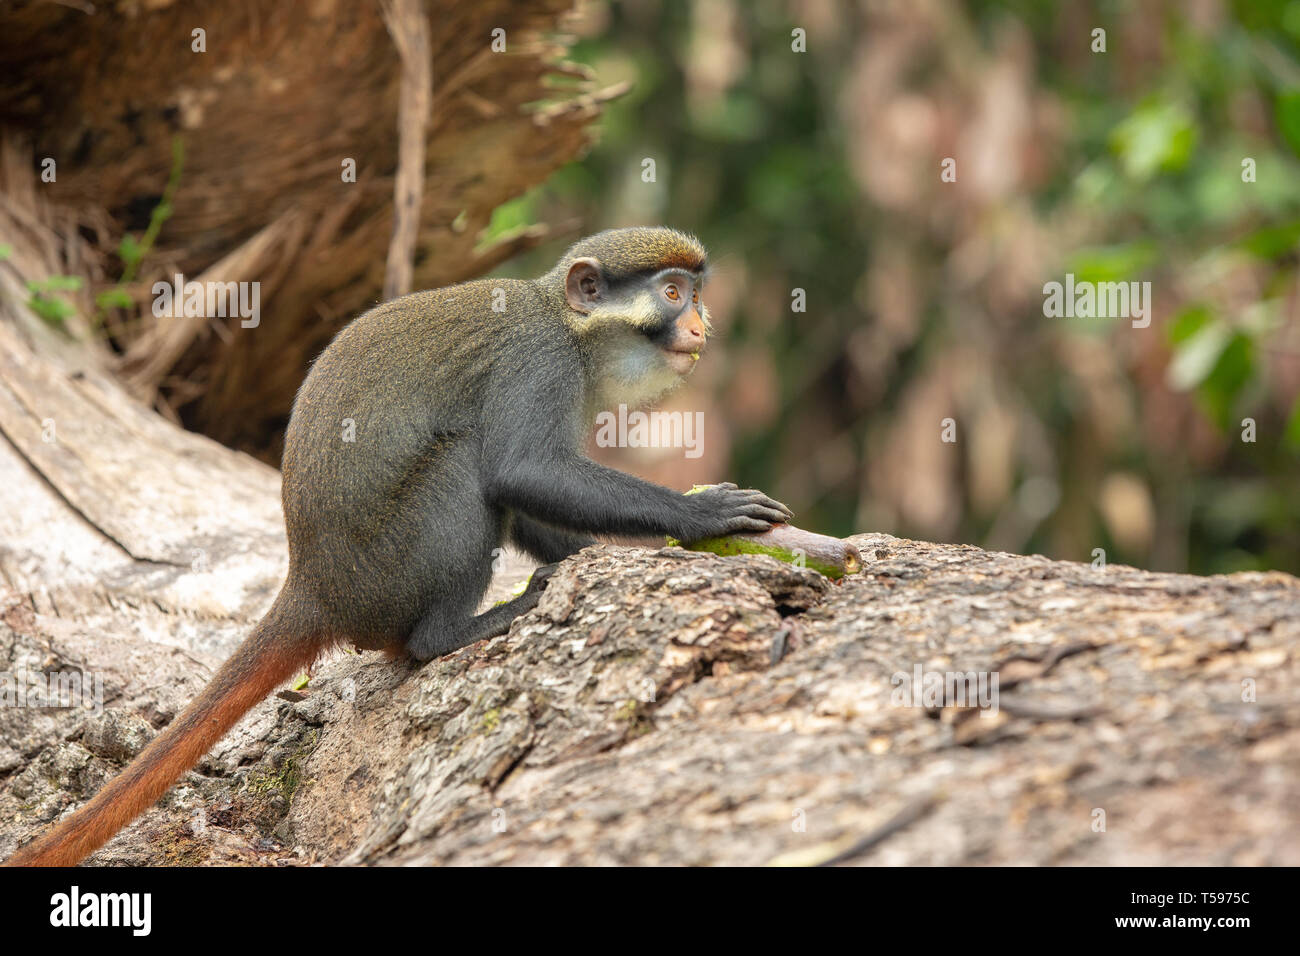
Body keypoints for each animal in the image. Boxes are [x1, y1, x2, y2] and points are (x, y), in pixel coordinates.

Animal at [4, 227, 791, 866]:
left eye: (695, 293)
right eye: (672, 292)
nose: (701, 322)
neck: (571, 325)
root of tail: (312, 583)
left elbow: (527, 498)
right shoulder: (538, 363)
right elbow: (521, 470)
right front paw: (702, 514)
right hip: (389, 570)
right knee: (463, 464)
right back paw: (453, 633)